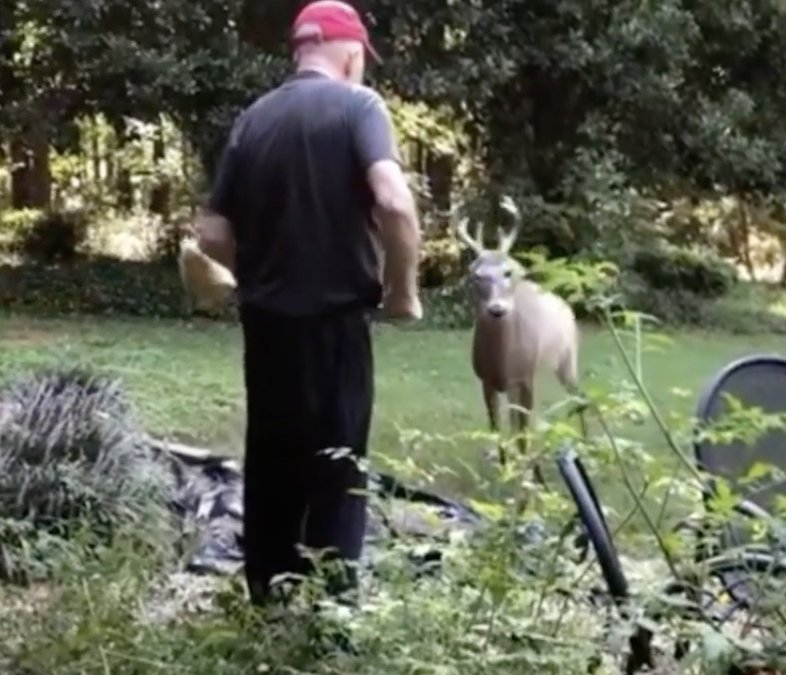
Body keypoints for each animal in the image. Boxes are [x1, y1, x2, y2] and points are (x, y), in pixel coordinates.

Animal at [455, 200, 588, 482]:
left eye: (508, 272)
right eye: (477, 275)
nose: (497, 308)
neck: (502, 360)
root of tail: (566, 306)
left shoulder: (525, 377)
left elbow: (523, 431)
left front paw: (528, 476)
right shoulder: (487, 380)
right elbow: (497, 427)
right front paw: (505, 468)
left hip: (568, 358)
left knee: (579, 397)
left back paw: (586, 443)